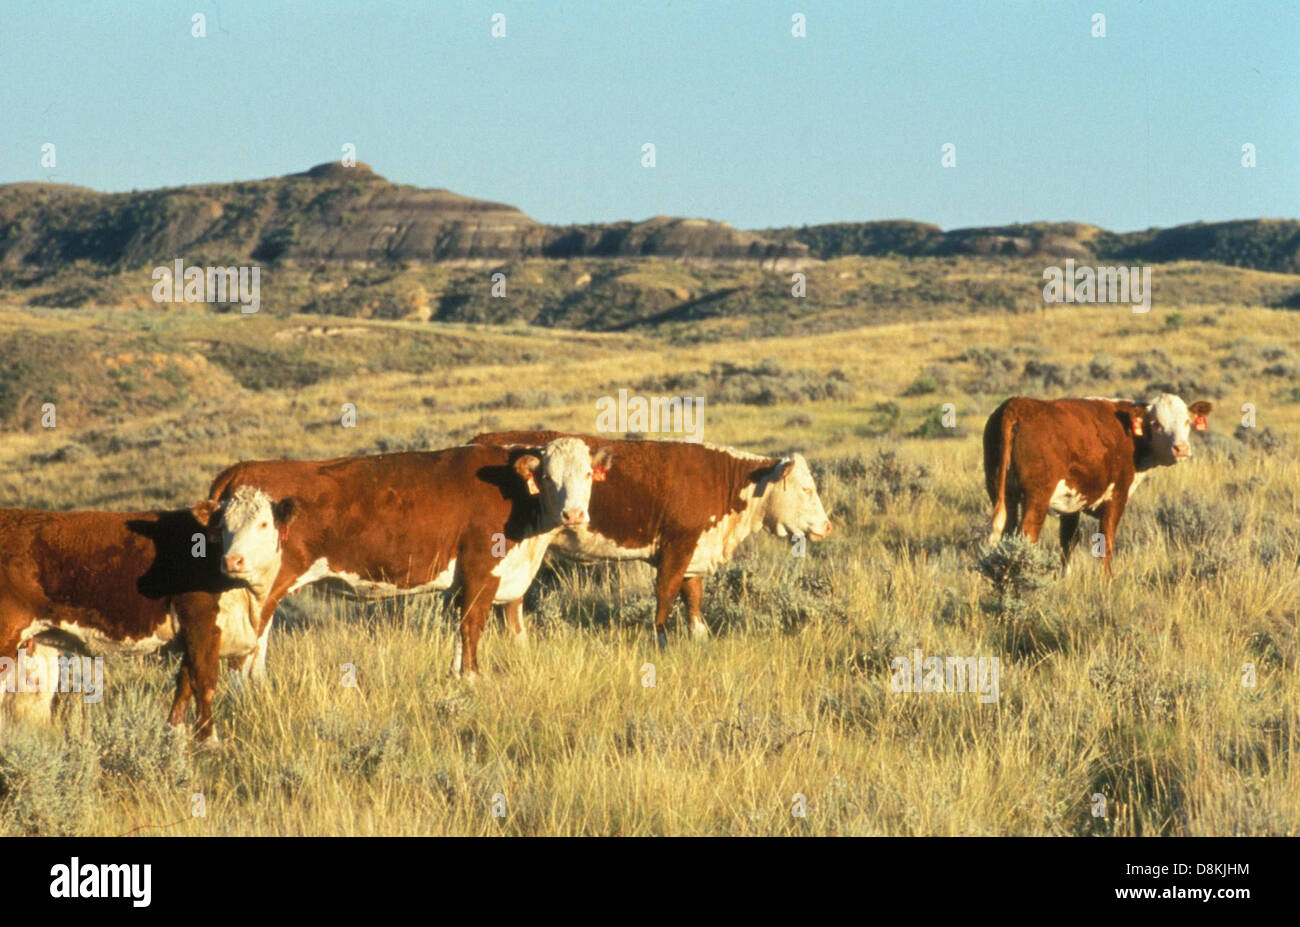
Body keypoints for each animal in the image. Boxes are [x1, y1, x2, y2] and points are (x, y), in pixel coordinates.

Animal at [0, 487, 294, 741]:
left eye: (263, 524)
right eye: (222, 527)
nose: (233, 561)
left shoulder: (191, 635)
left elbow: (184, 683)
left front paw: (174, 734)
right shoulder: (201, 625)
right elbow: (204, 681)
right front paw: (209, 741)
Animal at [207, 438, 610, 679]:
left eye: (588, 474)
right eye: (548, 476)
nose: (573, 514)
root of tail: (242, 468)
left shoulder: (462, 582)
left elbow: (458, 631)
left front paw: (456, 676)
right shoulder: (482, 570)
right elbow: (472, 627)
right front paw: (473, 678)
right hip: (259, 584)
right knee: (247, 648)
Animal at [473, 431, 833, 648]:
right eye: (807, 489)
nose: (827, 526)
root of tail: (484, 439)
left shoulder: (694, 551)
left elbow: (693, 594)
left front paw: (700, 636)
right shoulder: (677, 545)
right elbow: (667, 593)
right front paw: (660, 639)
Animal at [983, 393, 1213, 571]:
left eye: (1187, 421)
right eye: (1156, 423)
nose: (1181, 448)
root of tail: (1017, 405)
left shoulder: (1071, 503)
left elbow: (1068, 541)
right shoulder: (1117, 496)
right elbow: (1106, 542)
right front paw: (1107, 582)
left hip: (1001, 492)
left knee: (1007, 535)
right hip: (1037, 497)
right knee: (1026, 535)